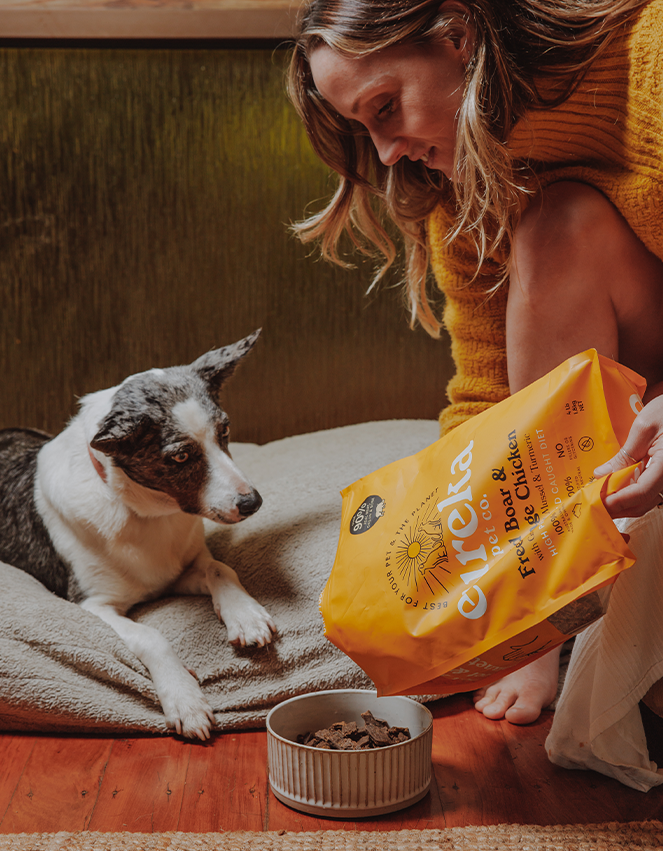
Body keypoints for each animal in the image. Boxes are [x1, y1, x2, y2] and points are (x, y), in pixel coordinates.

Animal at [0, 330, 274, 744]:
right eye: (180, 457)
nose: (252, 502)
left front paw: (247, 616)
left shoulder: (182, 570)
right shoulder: (94, 605)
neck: (150, 513)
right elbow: (151, 636)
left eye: (224, 432)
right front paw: (184, 699)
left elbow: (220, 569)